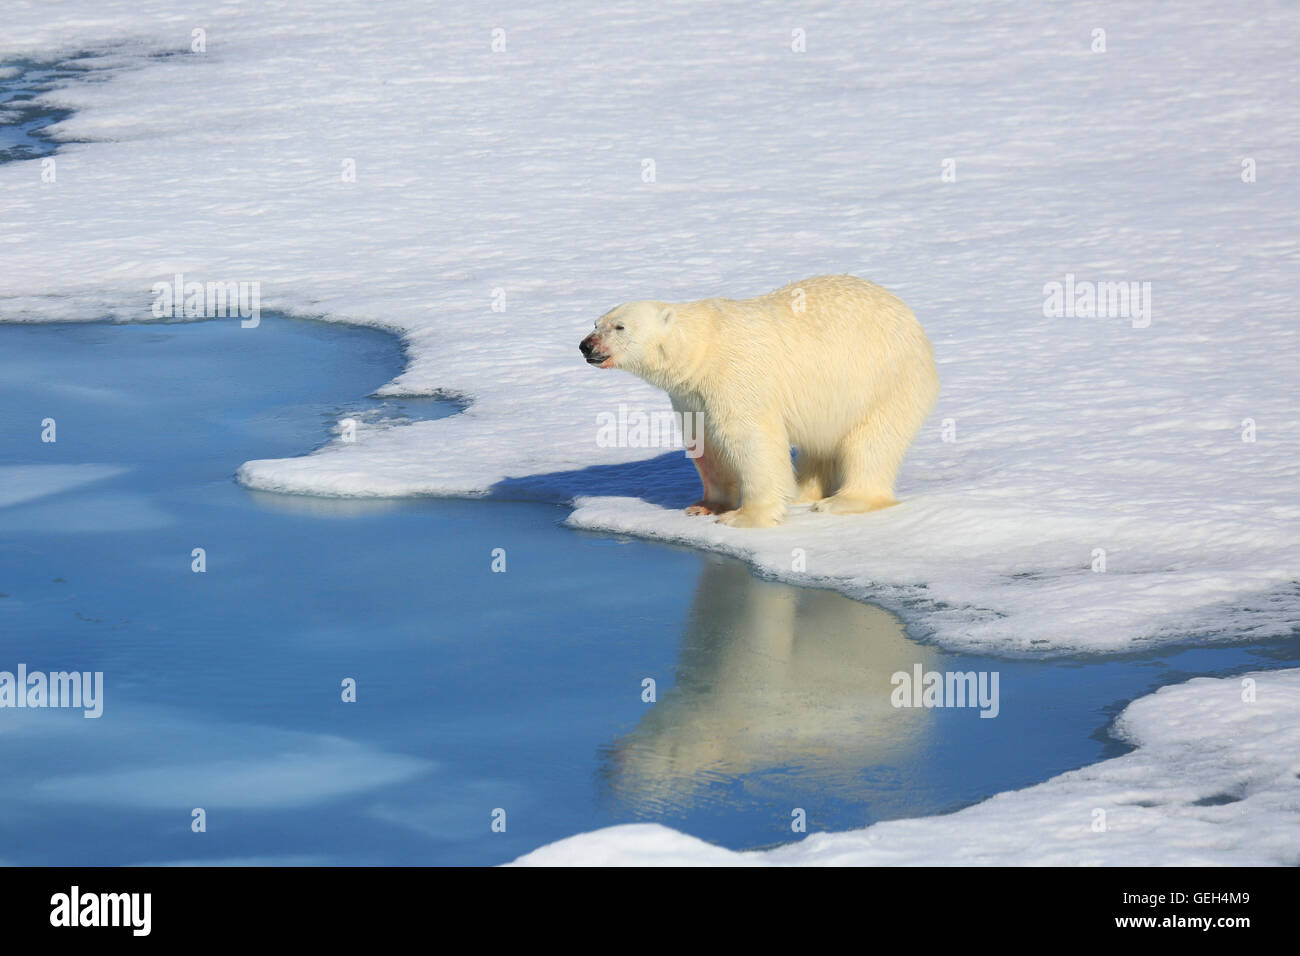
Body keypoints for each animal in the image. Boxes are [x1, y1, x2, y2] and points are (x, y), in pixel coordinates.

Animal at [579, 275, 939, 528]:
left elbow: (751, 440)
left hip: (887, 381)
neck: (703, 347)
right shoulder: (689, 393)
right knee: (818, 447)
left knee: (872, 442)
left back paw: (841, 501)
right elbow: (706, 442)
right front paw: (706, 505)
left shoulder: (736, 375)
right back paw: (801, 493)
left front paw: (745, 516)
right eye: (596, 322)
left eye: (619, 326)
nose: (586, 345)